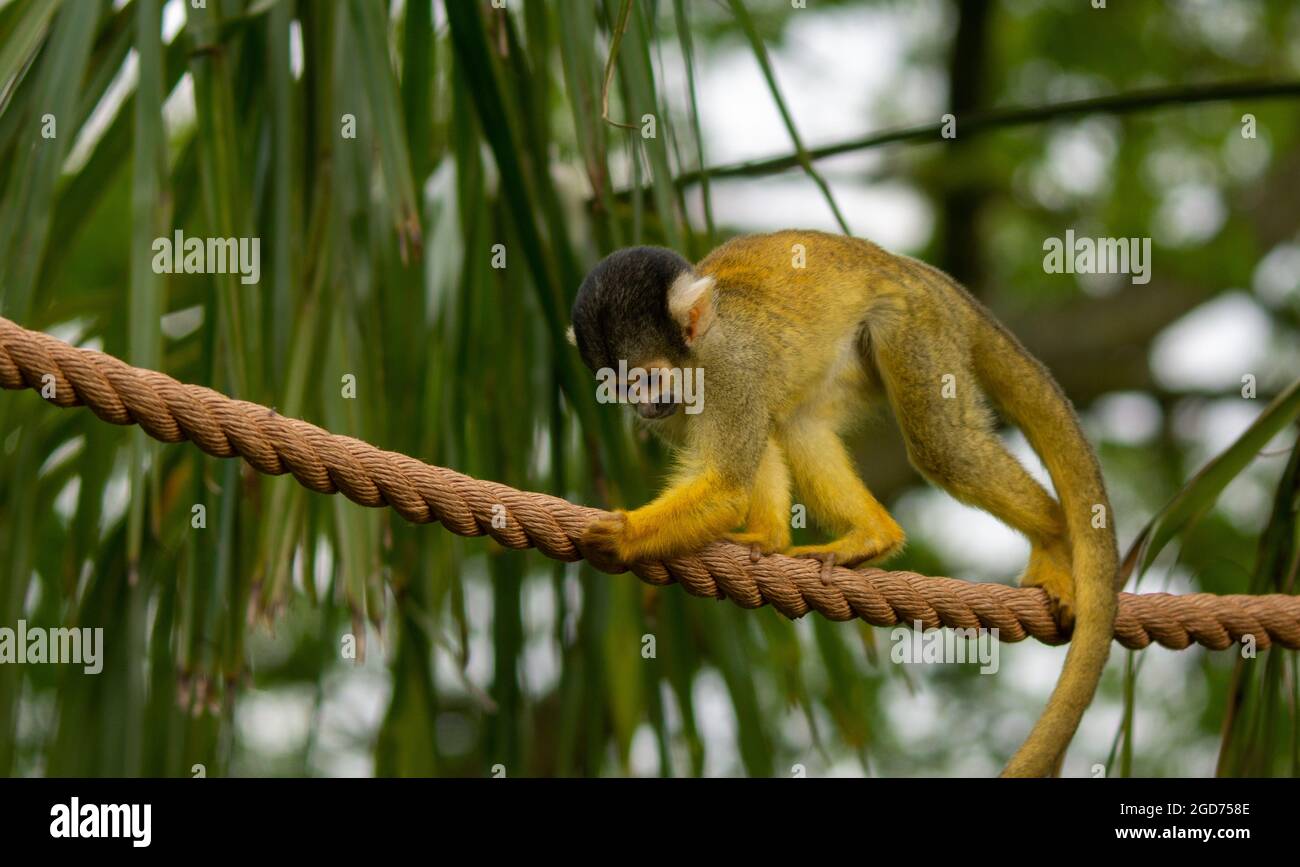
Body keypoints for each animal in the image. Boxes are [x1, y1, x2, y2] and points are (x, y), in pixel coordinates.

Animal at [566, 231, 1120, 777]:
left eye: (647, 379)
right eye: (618, 387)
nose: (642, 407)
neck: (698, 353)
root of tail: (910, 267)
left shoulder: (728, 372)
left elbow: (726, 486)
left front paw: (621, 536)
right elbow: (754, 449)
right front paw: (767, 539)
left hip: (913, 322)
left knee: (945, 450)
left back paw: (1053, 535)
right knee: (797, 422)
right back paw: (874, 535)